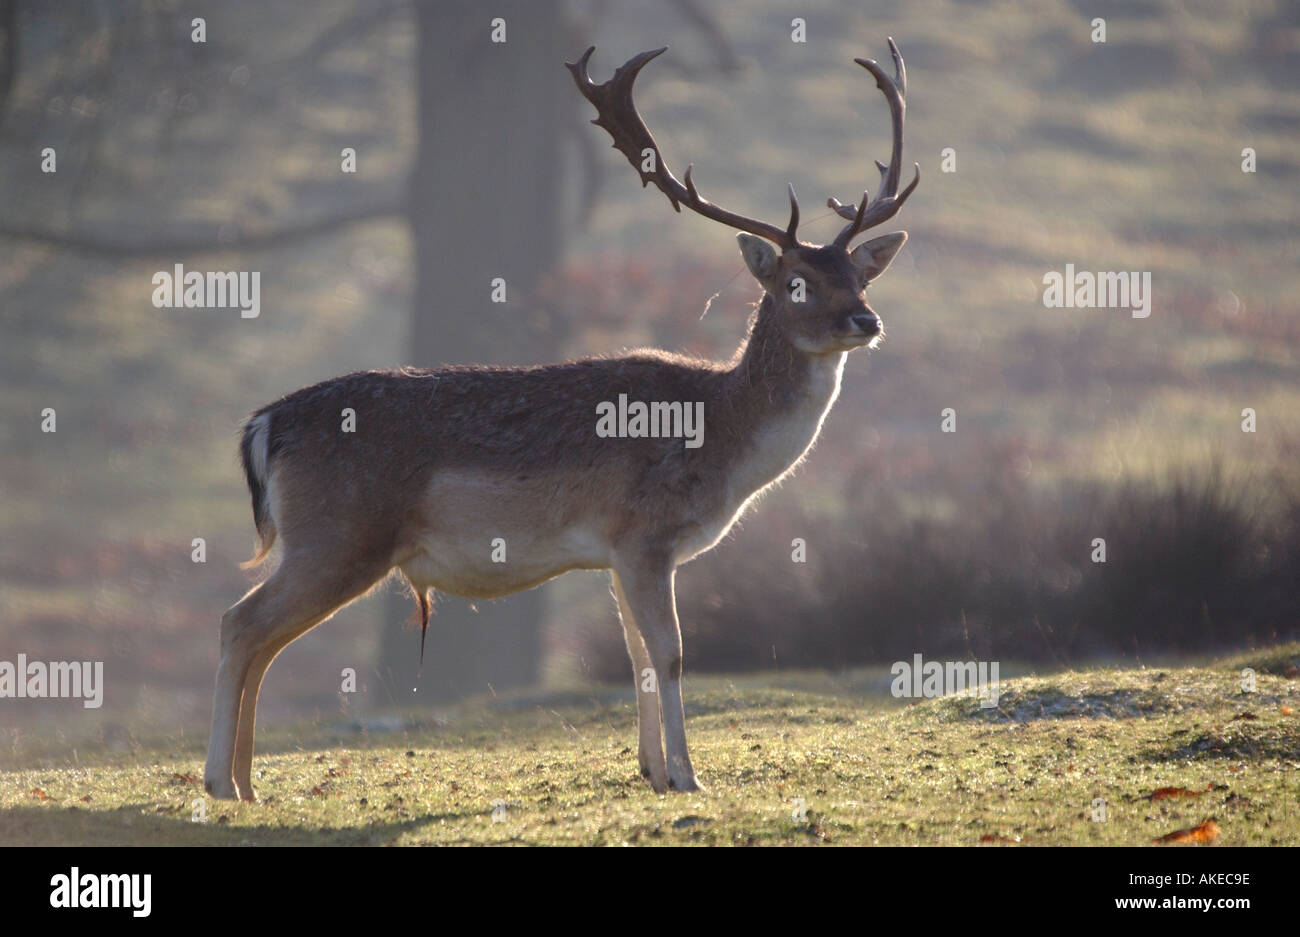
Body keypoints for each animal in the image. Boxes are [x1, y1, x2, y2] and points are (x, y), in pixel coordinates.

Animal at [204, 39, 918, 800]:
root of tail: (265, 424)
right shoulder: (644, 534)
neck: (721, 439)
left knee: (261, 639)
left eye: (860, 277)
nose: (866, 321)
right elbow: (670, 653)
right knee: (240, 623)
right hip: (338, 535)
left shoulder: (618, 553)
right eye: (795, 283)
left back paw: (246, 784)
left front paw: (654, 771)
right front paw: (690, 776)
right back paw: (219, 782)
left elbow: (636, 654)